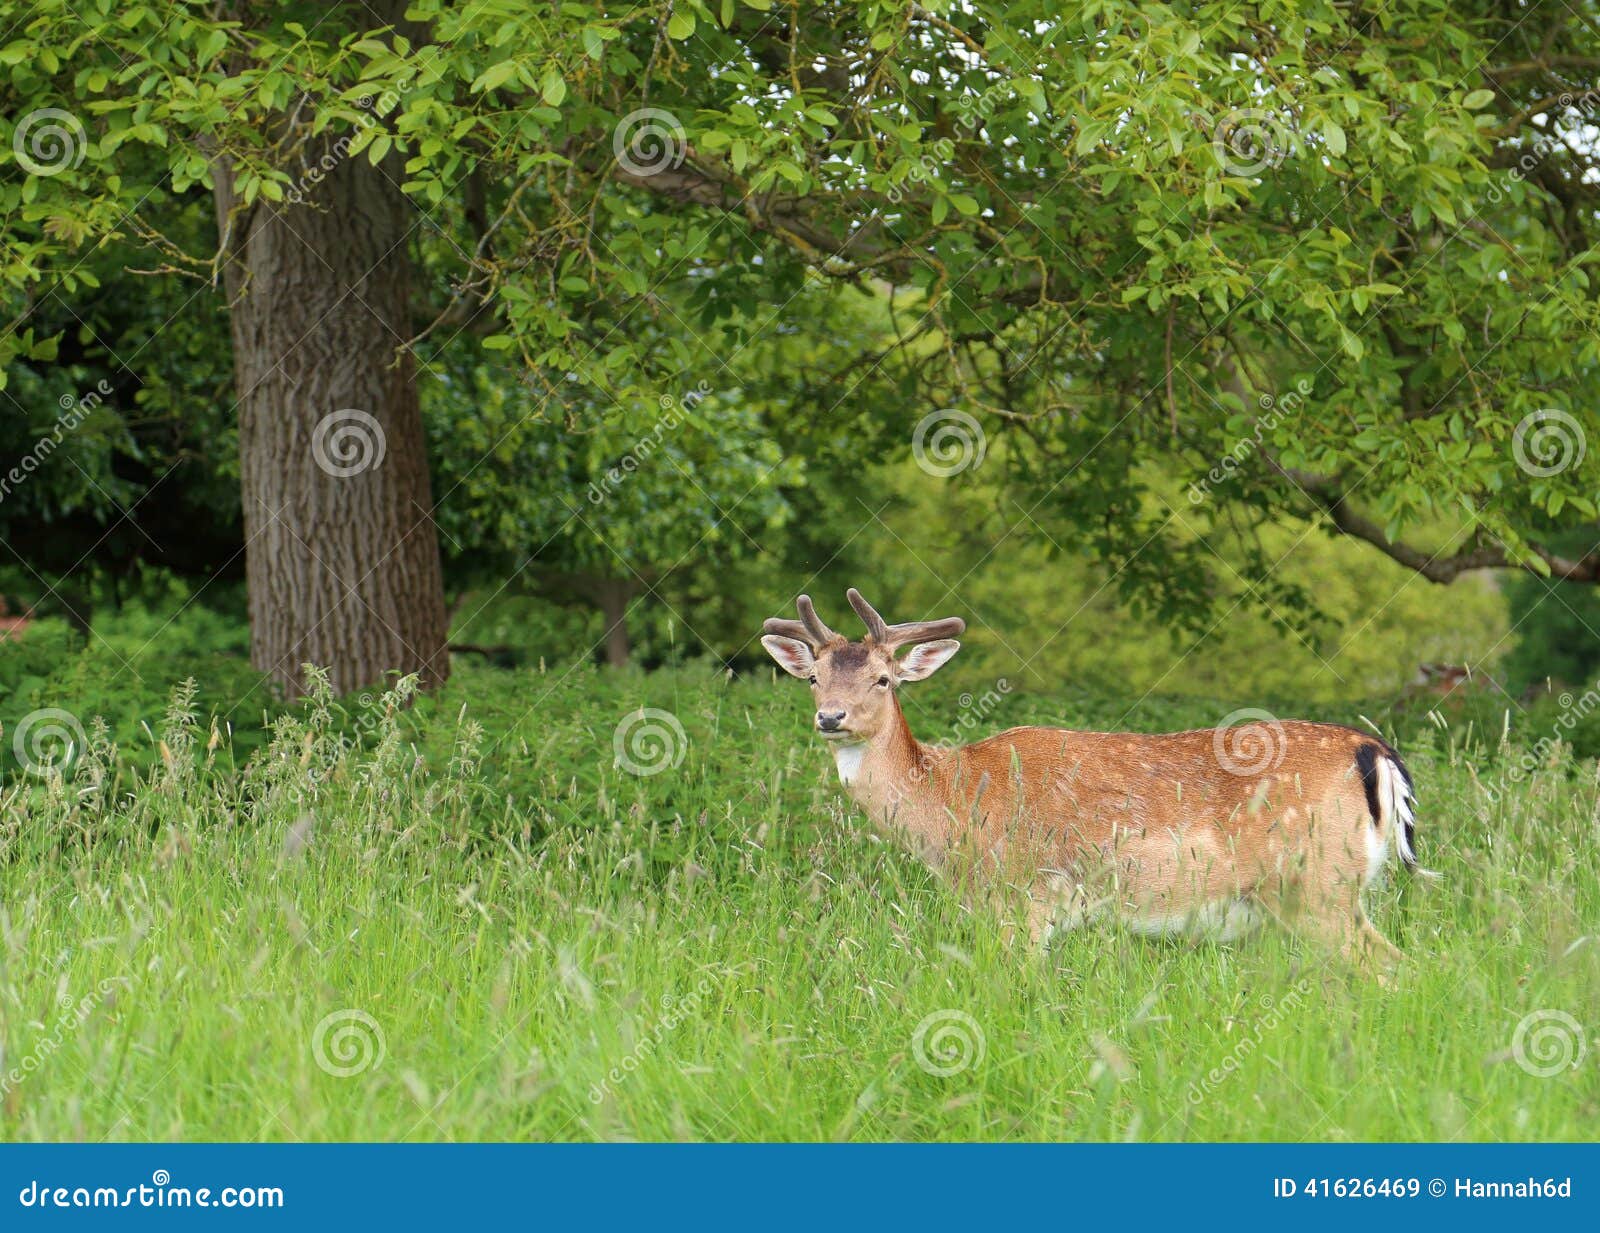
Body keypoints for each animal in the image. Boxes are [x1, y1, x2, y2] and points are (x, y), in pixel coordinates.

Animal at [761, 588, 1429, 971]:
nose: (830, 717)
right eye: (814, 677)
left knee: (1394, 967)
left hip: (1319, 885)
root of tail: (1374, 751)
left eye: (883, 679)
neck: (952, 803)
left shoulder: (1025, 897)